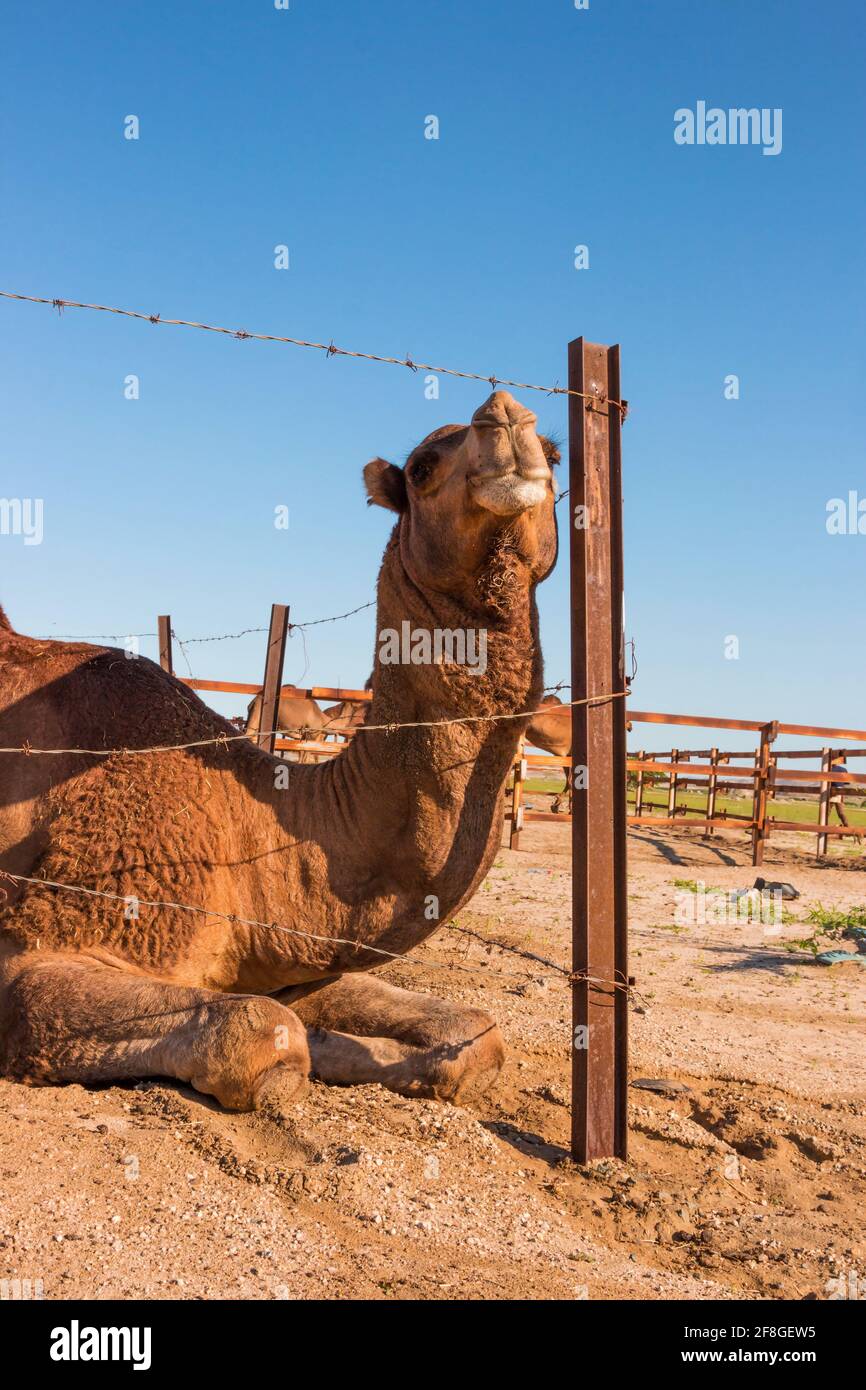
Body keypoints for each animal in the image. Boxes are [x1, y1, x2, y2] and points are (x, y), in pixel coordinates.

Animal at [0, 390, 558, 1115]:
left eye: (555, 455)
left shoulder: (286, 952)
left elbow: (477, 1035)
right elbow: (267, 1037)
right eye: (423, 466)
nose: (507, 417)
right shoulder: (60, 936)